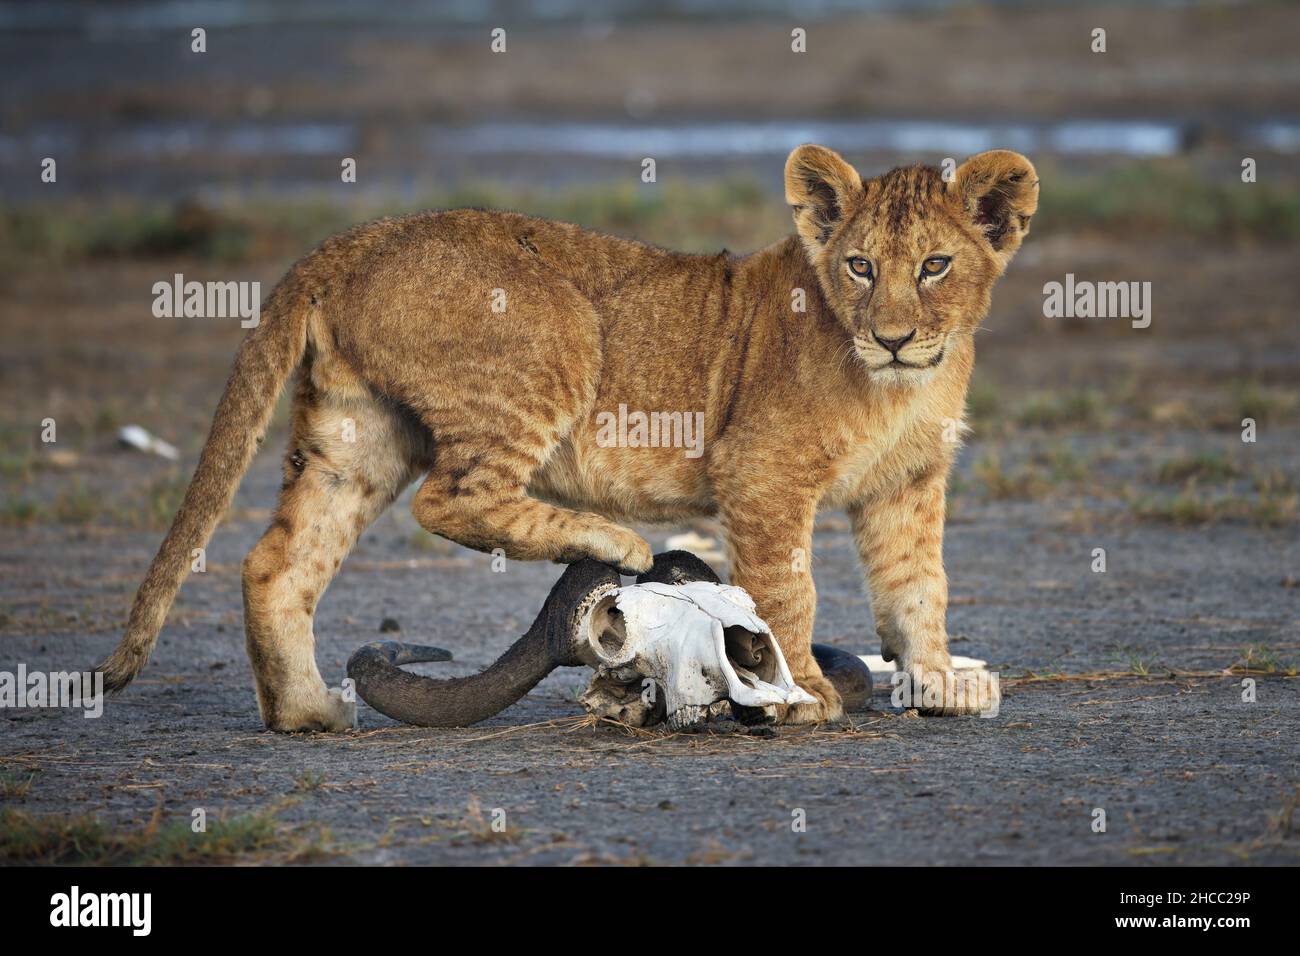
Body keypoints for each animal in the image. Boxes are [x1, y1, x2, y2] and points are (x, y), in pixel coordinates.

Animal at [97, 145, 1038, 732]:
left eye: (935, 266)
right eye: (860, 267)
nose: (892, 336)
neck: (902, 387)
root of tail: (356, 238)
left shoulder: (907, 485)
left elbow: (918, 586)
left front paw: (940, 679)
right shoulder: (762, 470)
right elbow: (787, 590)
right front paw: (801, 689)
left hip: (355, 434)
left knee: (277, 562)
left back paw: (305, 713)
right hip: (556, 338)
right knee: (452, 498)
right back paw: (612, 540)